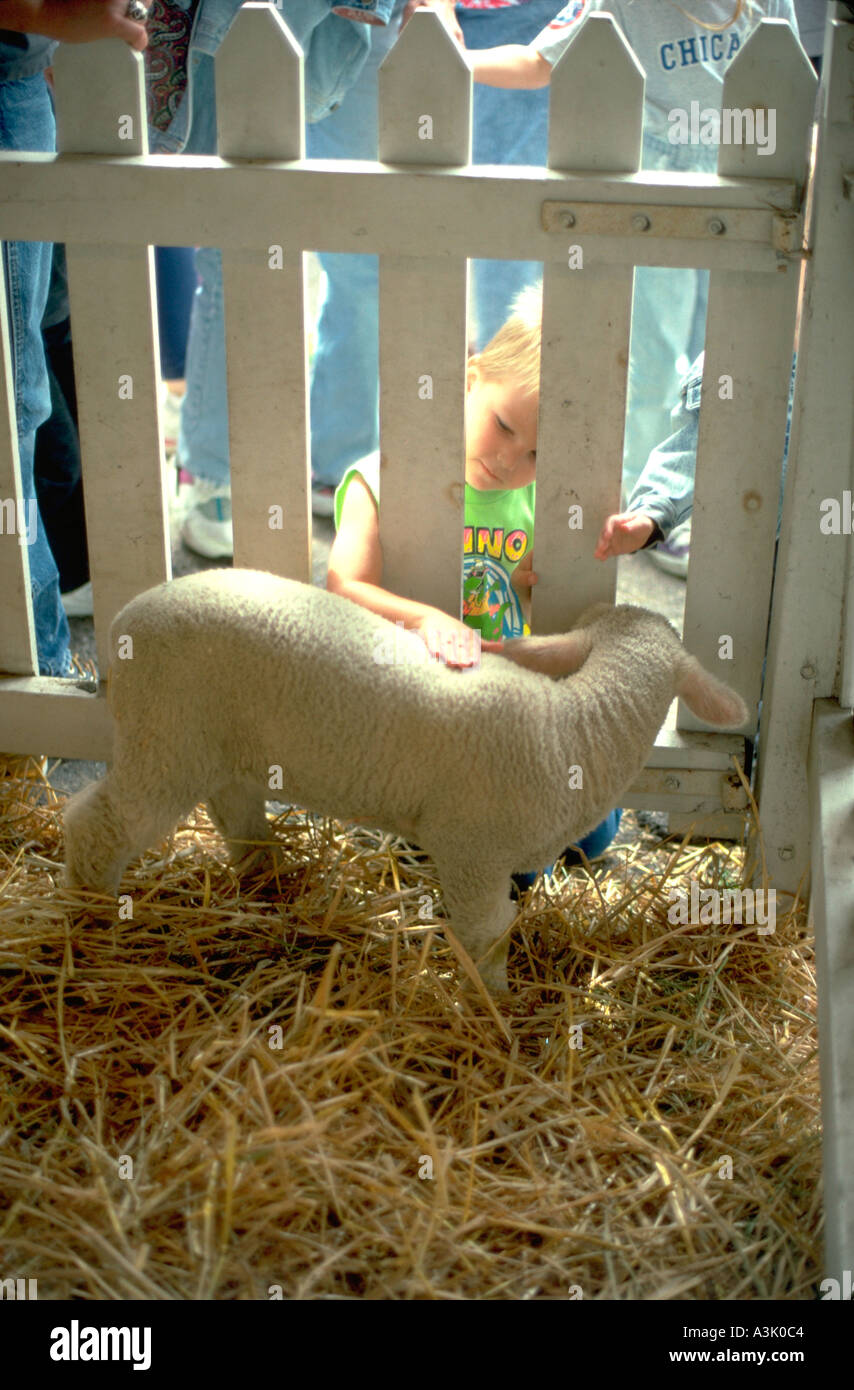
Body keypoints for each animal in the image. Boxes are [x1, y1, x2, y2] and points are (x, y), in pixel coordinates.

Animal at [62, 569, 748, 992]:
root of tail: (122, 623)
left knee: (233, 812)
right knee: (99, 825)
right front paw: (494, 1007)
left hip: (215, 742)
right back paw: (92, 920)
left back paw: (270, 877)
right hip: (164, 736)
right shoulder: (472, 852)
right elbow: (487, 932)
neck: (578, 730)